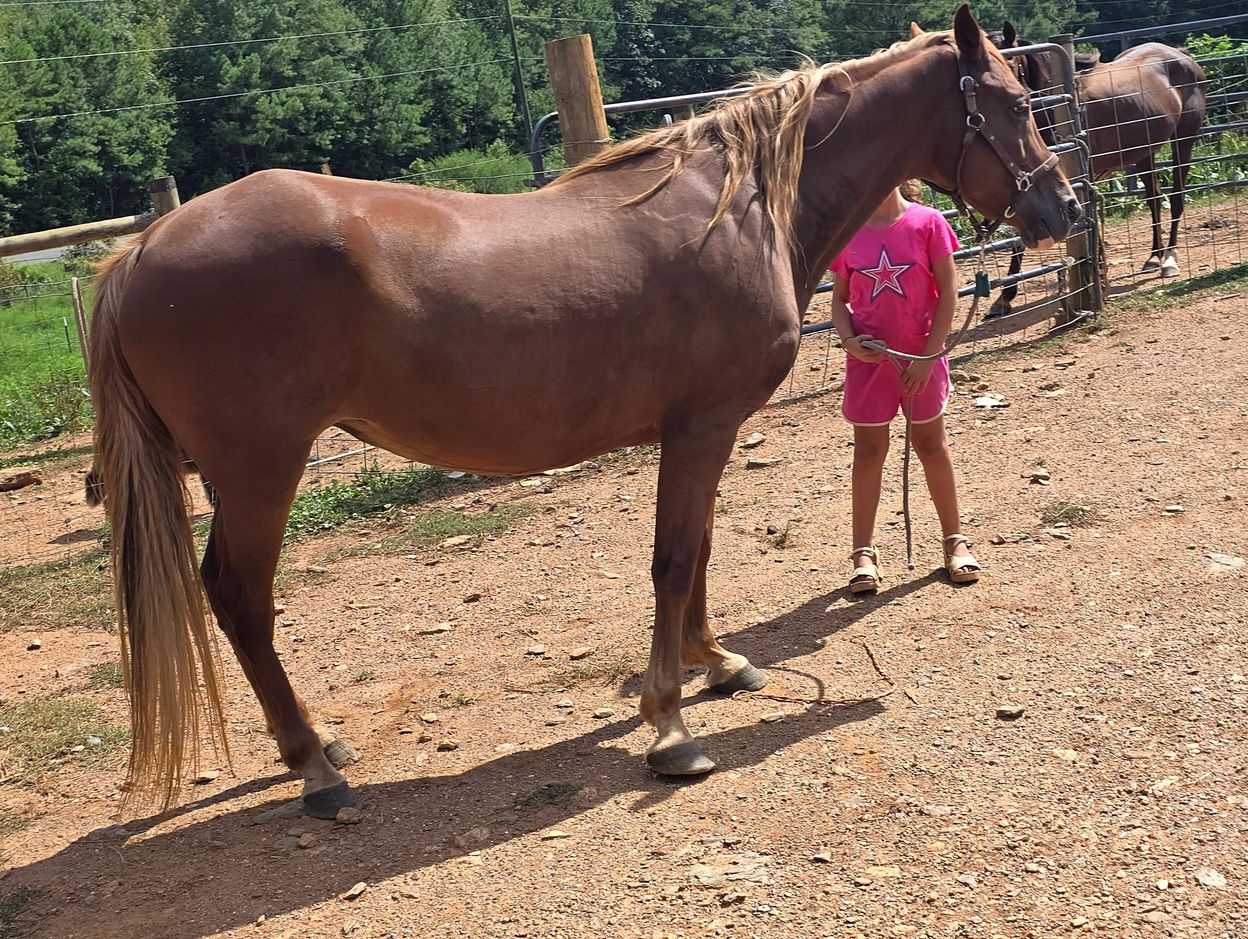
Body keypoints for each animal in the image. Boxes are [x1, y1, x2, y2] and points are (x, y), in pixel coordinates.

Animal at [85, 5, 1079, 819]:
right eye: (1012, 103)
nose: (1063, 205)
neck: (741, 208)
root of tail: (141, 251)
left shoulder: (705, 431)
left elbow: (699, 551)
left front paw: (718, 662)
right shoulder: (699, 426)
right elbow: (672, 563)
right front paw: (670, 725)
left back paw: (320, 743)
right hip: (261, 469)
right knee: (240, 597)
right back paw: (316, 769)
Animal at [985, 23, 1205, 318]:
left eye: (1010, 63)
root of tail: (1180, 54)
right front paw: (1004, 298)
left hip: (1183, 141)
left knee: (1177, 196)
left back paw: (1169, 259)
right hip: (1144, 152)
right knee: (1155, 199)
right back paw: (1153, 256)